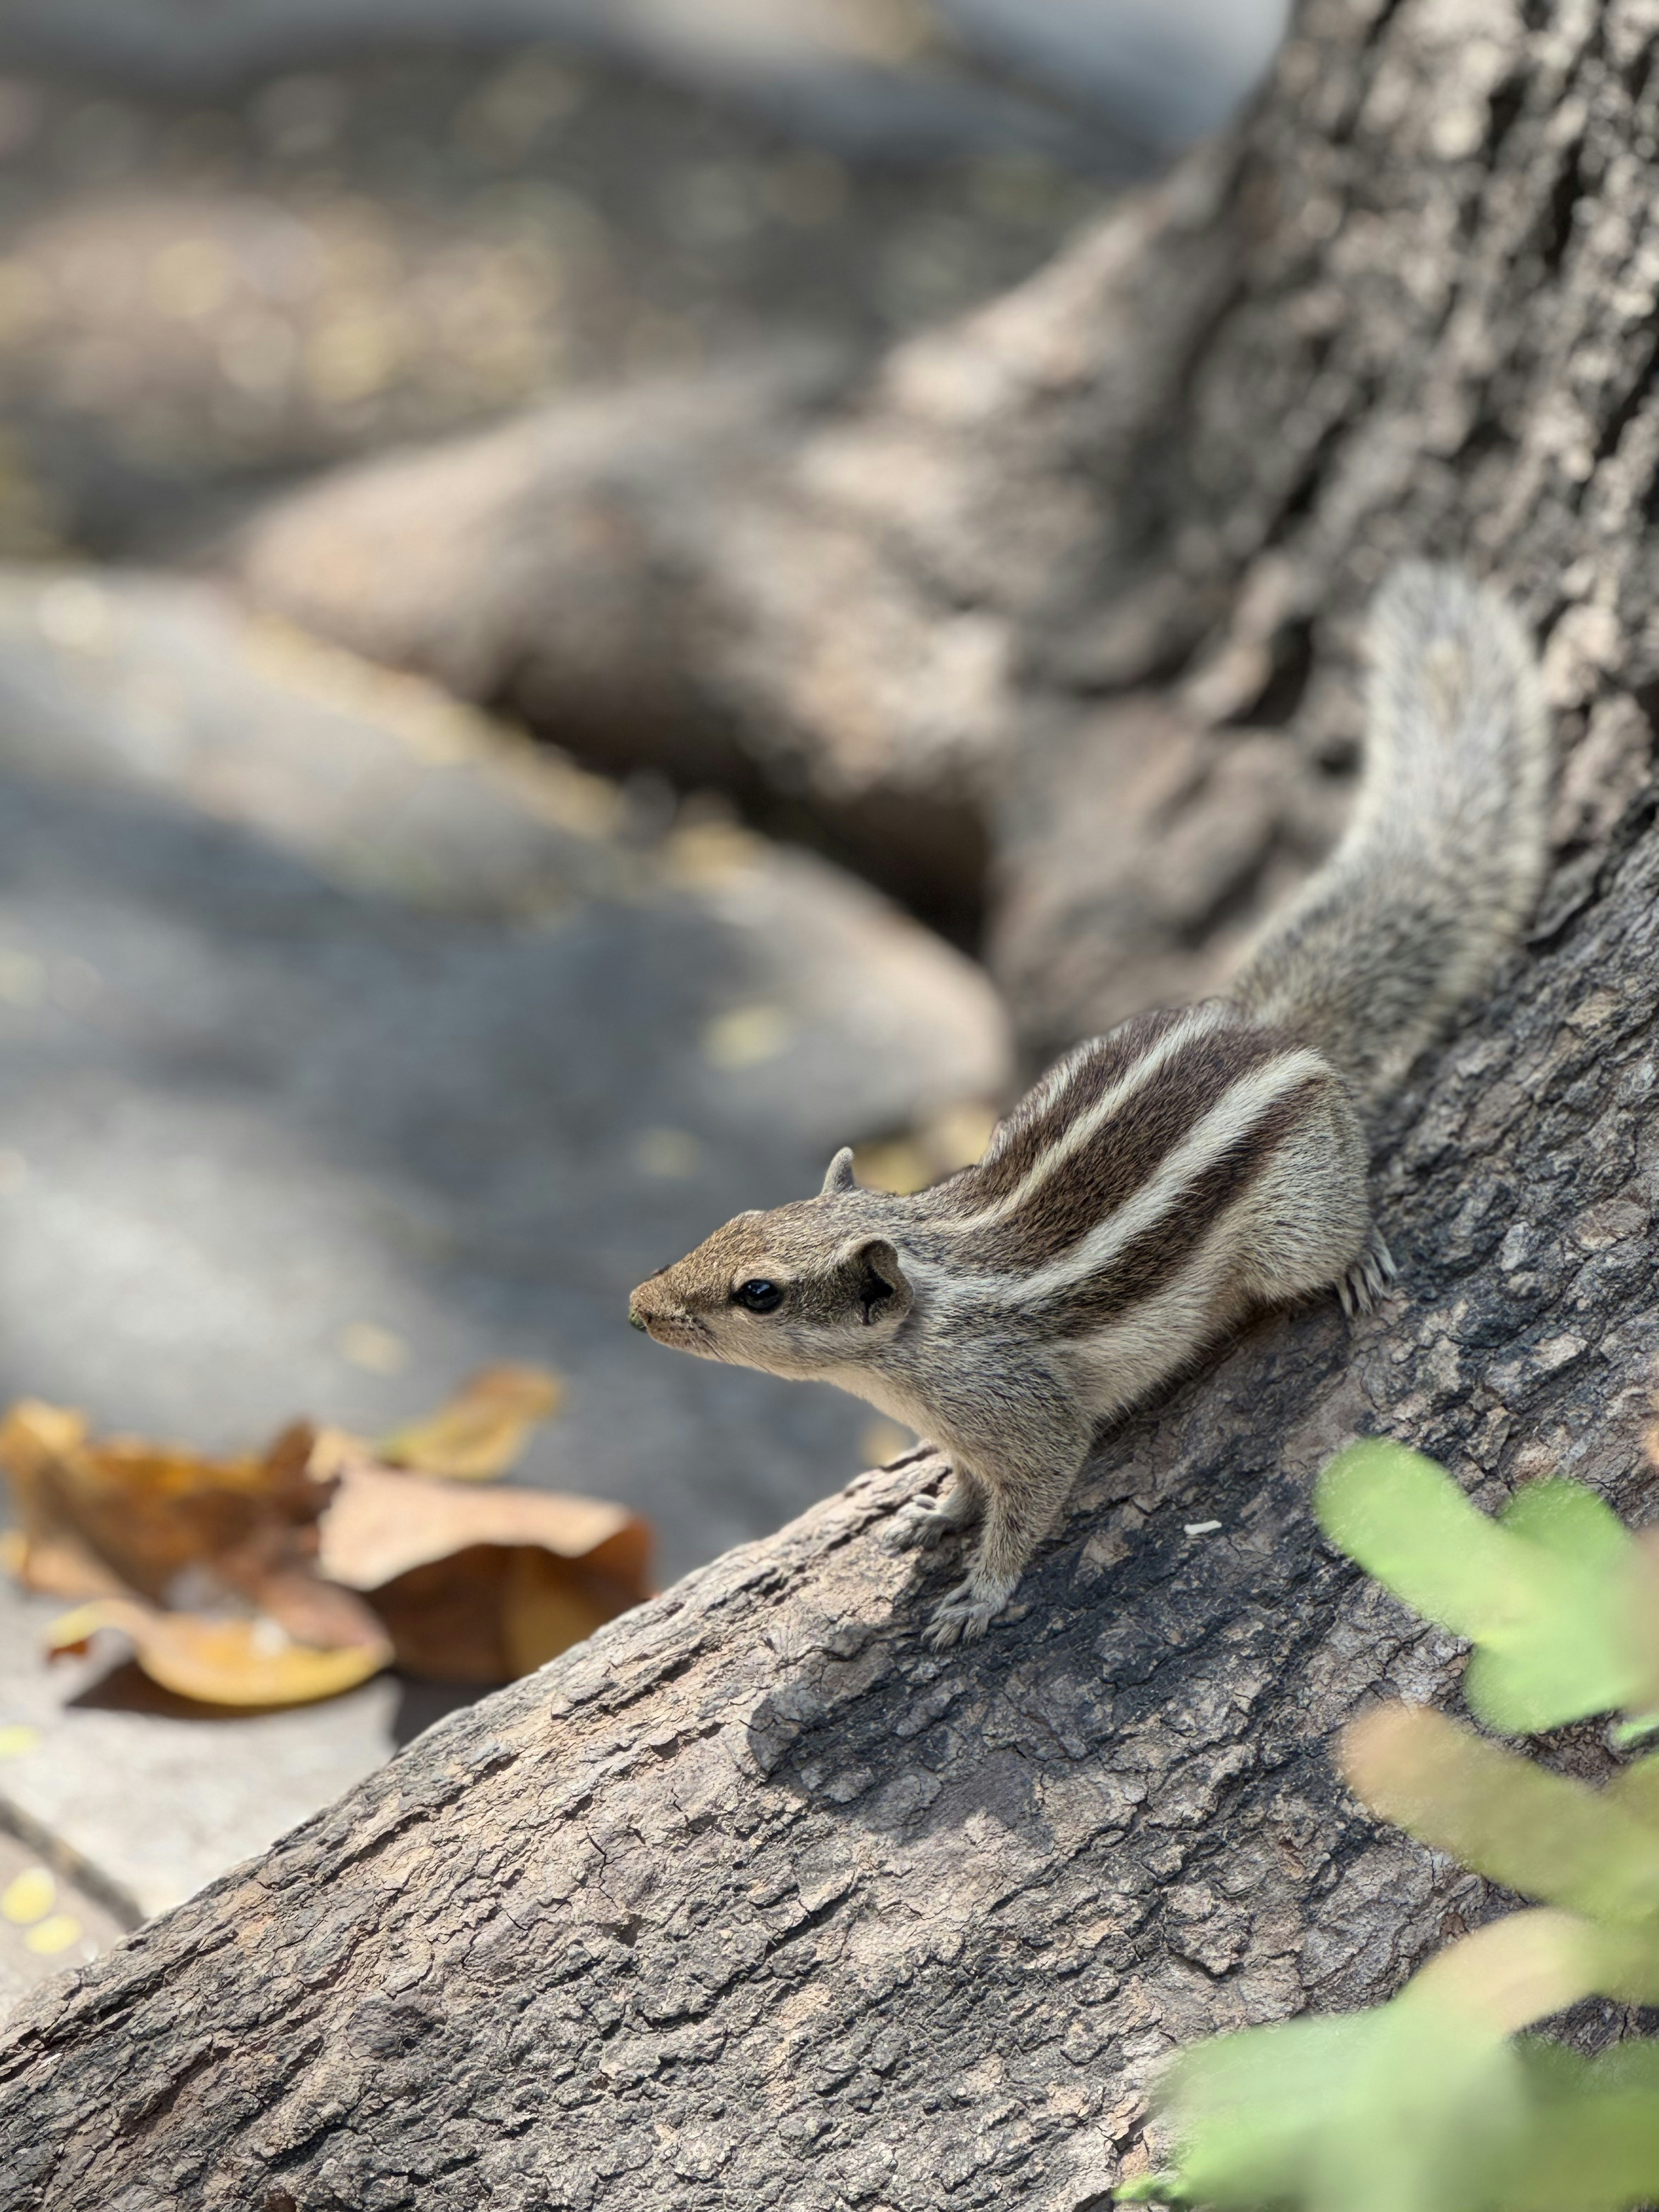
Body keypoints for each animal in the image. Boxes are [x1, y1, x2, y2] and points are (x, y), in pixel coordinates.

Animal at [629, 564, 1553, 1646]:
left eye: (760, 1292)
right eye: (732, 1221)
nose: (639, 1307)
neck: (913, 1340)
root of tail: (1263, 1029)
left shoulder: (1027, 1417)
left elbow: (1030, 1500)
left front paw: (978, 1593)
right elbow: (968, 1483)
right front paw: (938, 1509)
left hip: (1290, 1226)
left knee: (1330, 1234)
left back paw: (1358, 1255)